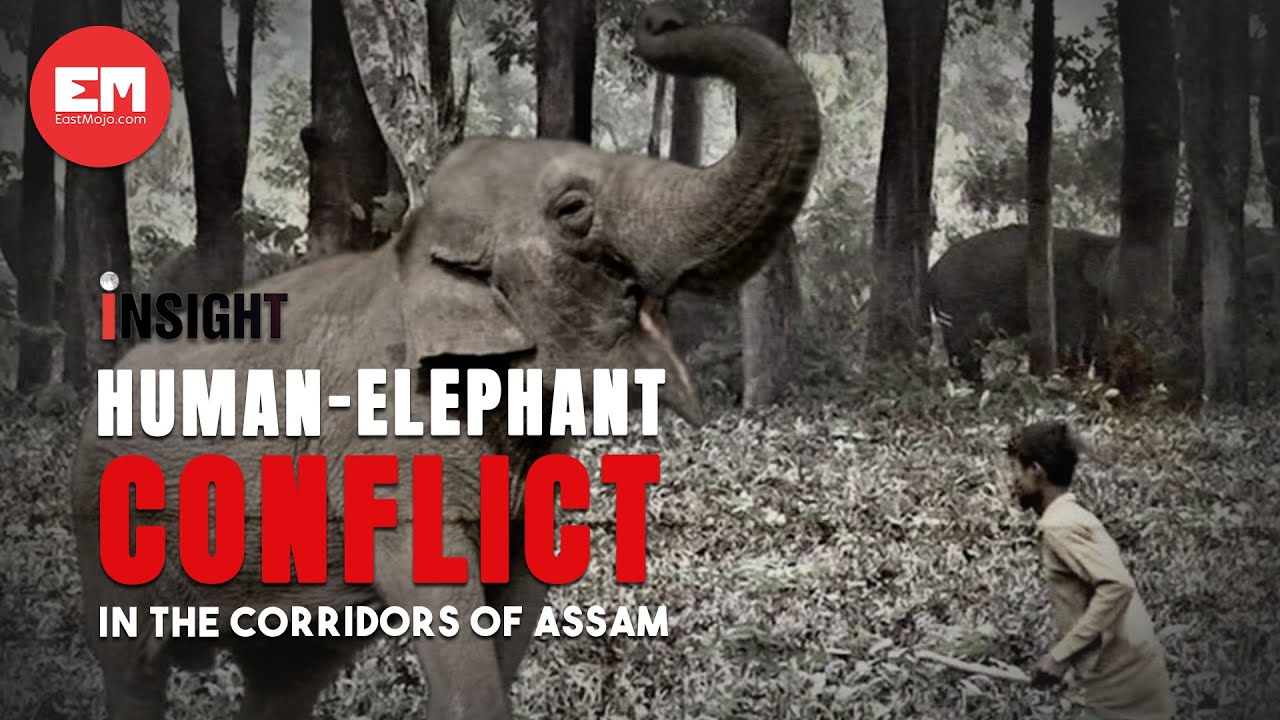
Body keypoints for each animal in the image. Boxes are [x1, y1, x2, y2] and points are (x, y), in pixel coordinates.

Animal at [67, 5, 821, 720]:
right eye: (574, 210)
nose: (659, 19)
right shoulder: (386, 446)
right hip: (103, 519)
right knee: (135, 668)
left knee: (285, 681)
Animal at [926, 224, 1118, 382]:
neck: (1095, 237)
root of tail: (933, 270)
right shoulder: (1066, 286)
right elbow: (1070, 340)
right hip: (956, 302)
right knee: (964, 348)